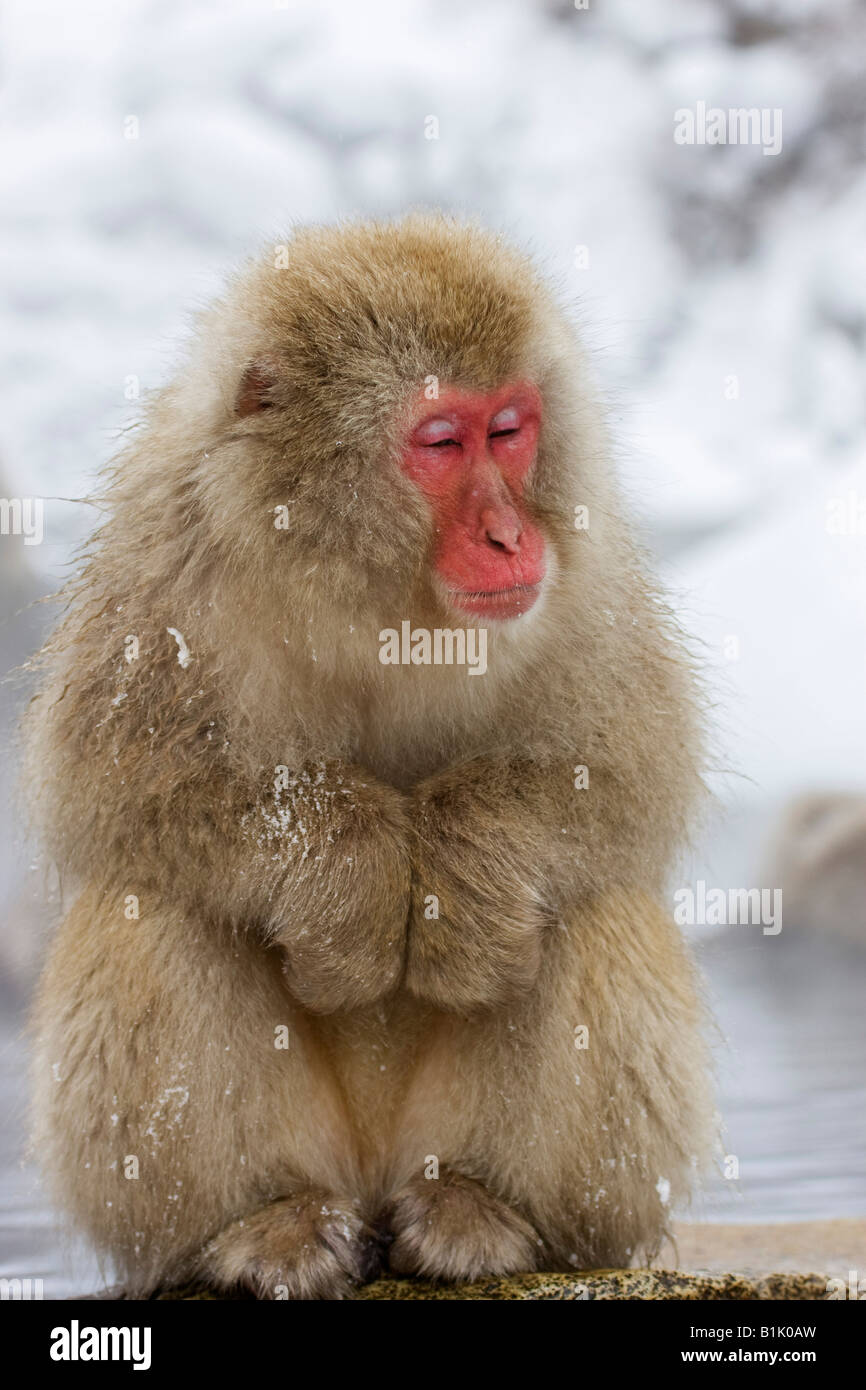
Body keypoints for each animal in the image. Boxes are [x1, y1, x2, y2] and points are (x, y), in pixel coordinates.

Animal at [28, 211, 717, 1295]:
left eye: (509, 429)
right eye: (440, 442)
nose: (509, 534)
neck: (374, 596)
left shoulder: (583, 565)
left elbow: (628, 765)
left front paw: (467, 865)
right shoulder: (168, 547)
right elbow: (112, 781)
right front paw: (348, 873)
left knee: (594, 905)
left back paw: (485, 1212)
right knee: (149, 906)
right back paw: (263, 1224)